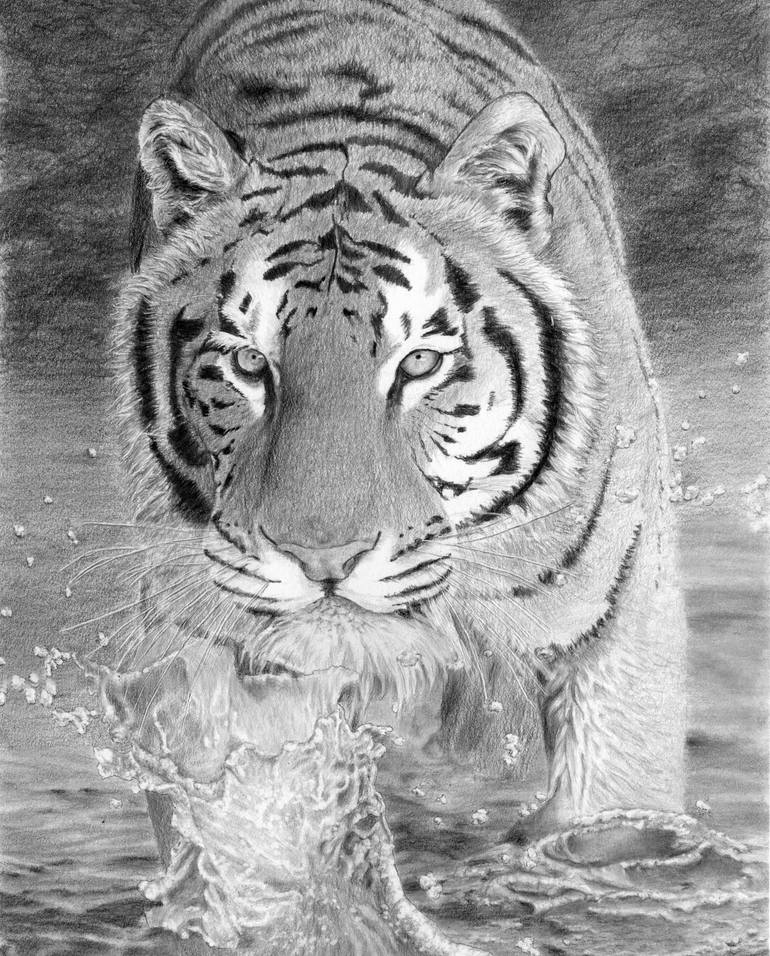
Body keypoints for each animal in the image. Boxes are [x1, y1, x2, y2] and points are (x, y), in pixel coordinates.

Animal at [117, 0, 687, 845]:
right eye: (249, 364)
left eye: (417, 364)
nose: (322, 561)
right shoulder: (197, 650)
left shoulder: (618, 621)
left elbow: (613, 804)